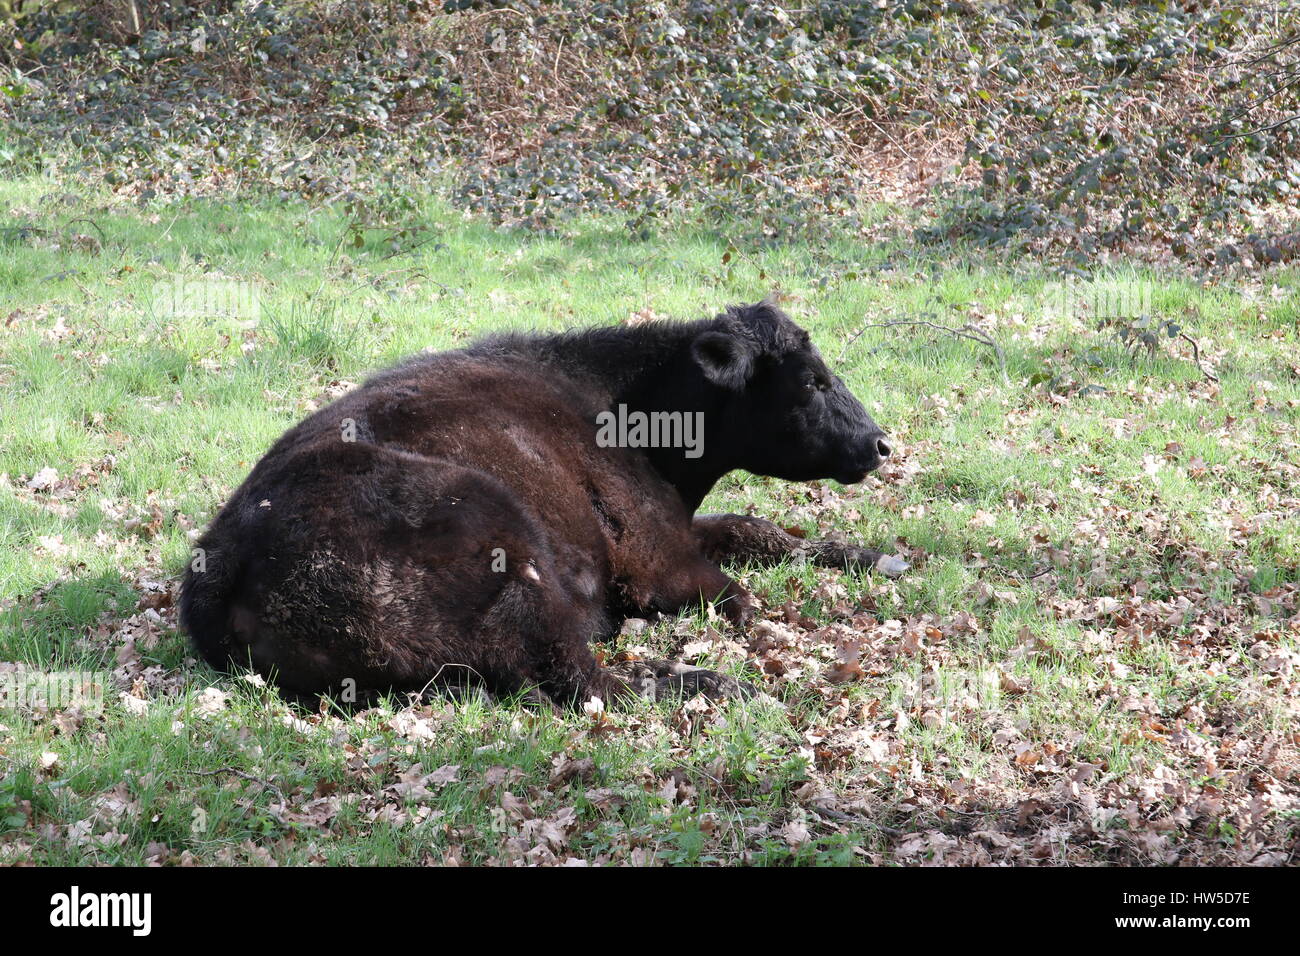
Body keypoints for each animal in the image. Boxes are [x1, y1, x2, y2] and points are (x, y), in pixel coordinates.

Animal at [179, 300, 905, 707]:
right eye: (812, 381)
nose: (880, 443)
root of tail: (222, 559)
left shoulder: (683, 525)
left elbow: (761, 530)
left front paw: (871, 555)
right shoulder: (656, 557)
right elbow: (738, 594)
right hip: (509, 551)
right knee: (583, 683)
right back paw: (713, 685)